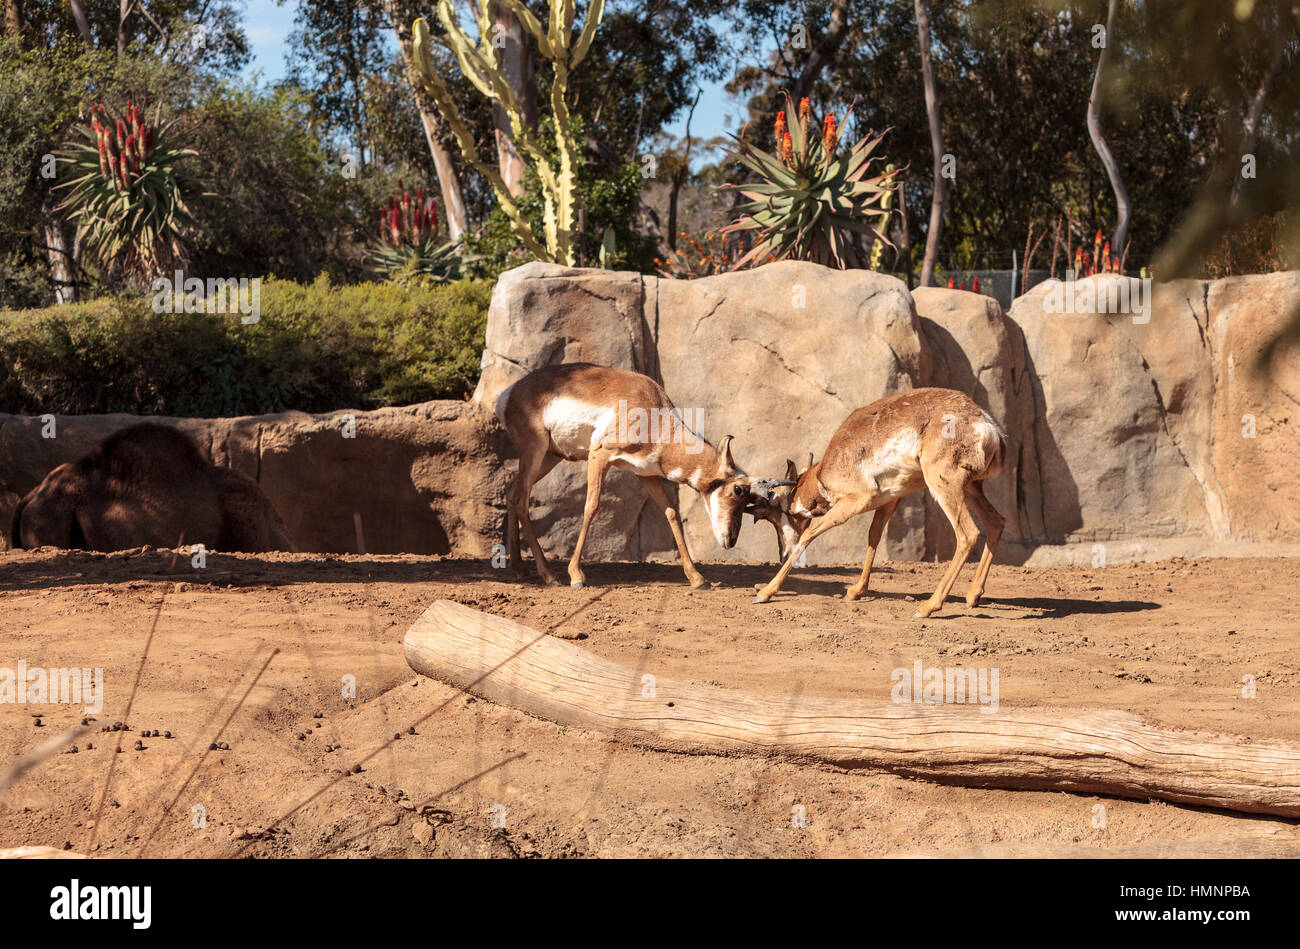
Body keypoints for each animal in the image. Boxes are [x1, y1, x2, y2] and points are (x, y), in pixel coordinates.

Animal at [496, 363, 784, 588]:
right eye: (737, 490)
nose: (731, 540)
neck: (654, 414)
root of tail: (511, 392)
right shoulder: (599, 455)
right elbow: (591, 506)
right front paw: (576, 575)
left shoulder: (645, 474)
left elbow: (671, 511)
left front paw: (697, 578)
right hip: (535, 452)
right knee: (521, 500)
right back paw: (549, 575)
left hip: (550, 457)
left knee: (511, 493)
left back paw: (520, 569)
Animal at [753, 388, 1007, 618]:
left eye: (776, 514)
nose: (782, 553)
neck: (822, 473)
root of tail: (987, 425)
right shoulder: (890, 499)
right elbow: (873, 535)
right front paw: (856, 591)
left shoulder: (856, 500)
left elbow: (810, 534)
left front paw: (765, 592)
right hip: (970, 487)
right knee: (996, 522)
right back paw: (973, 595)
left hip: (944, 484)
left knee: (968, 533)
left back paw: (928, 607)